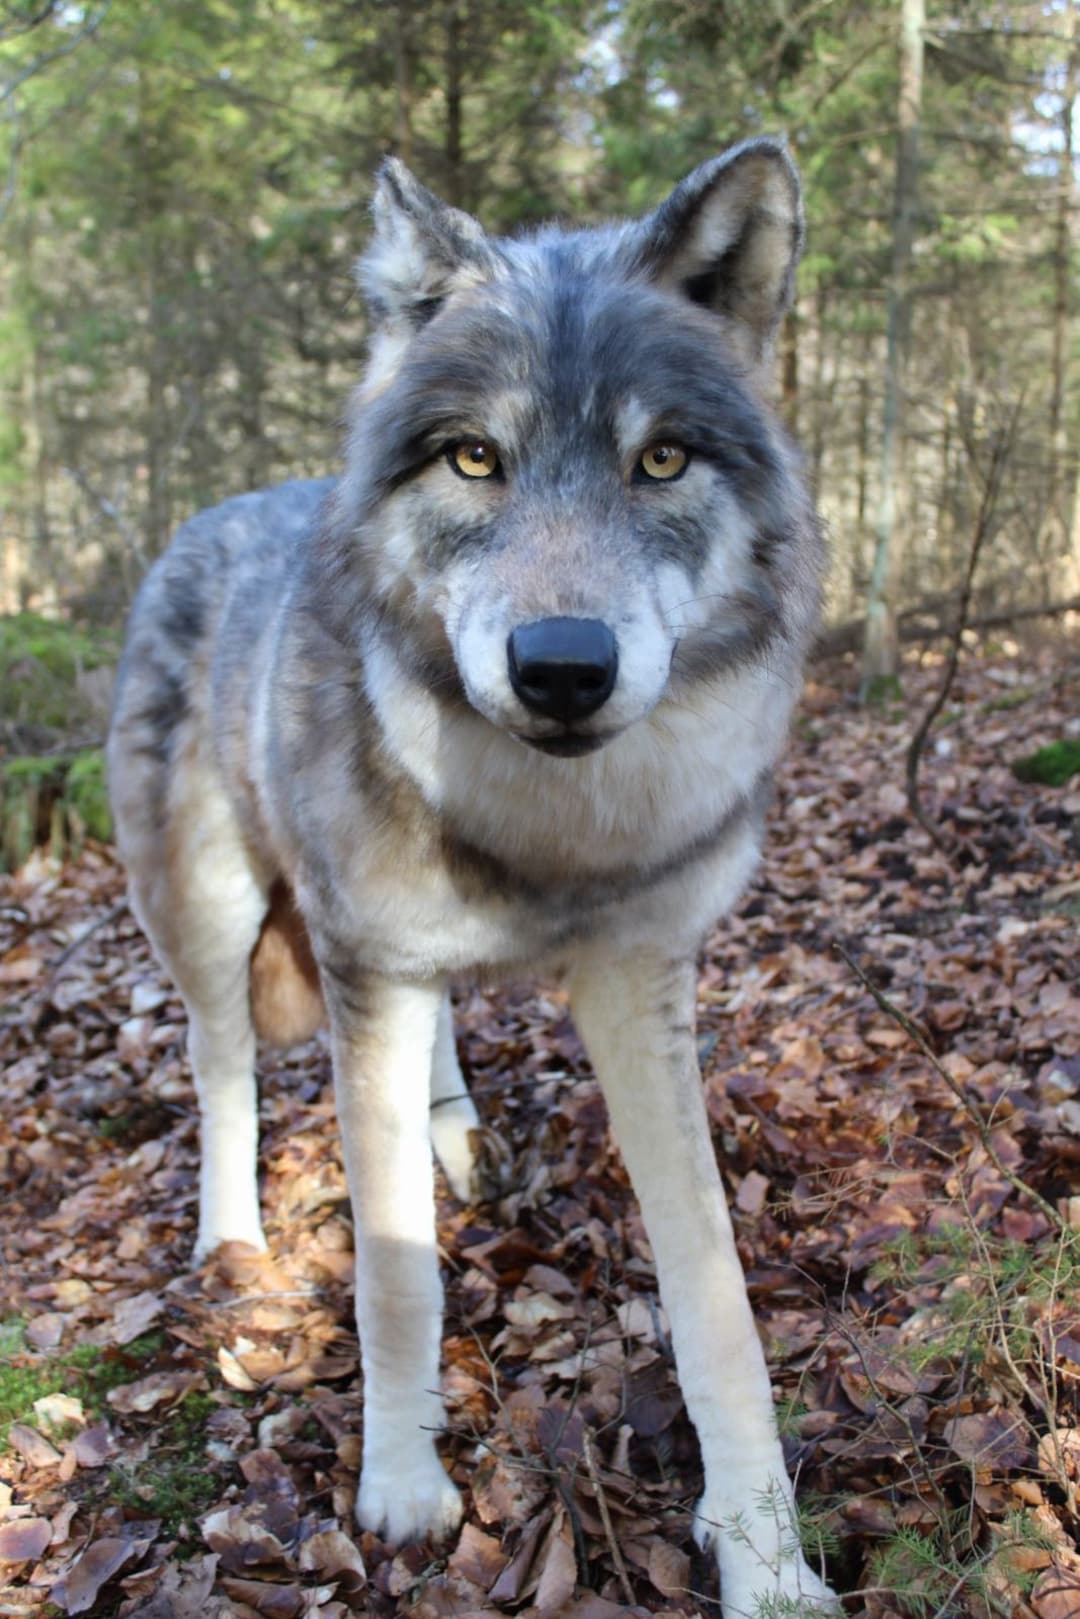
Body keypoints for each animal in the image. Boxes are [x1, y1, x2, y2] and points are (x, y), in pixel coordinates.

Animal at [108, 138, 834, 1616]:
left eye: (660, 456)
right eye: (473, 457)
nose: (562, 666)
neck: (547, 833)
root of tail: (211, 514)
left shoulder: (638, 981)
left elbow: (718, 1301)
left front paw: (769, 1559)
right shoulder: (368, 970)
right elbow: (392, 1275)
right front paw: (400, 1487)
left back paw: (459, 1139)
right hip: (213, 912)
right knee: (221, 1063)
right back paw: (233, 1244)